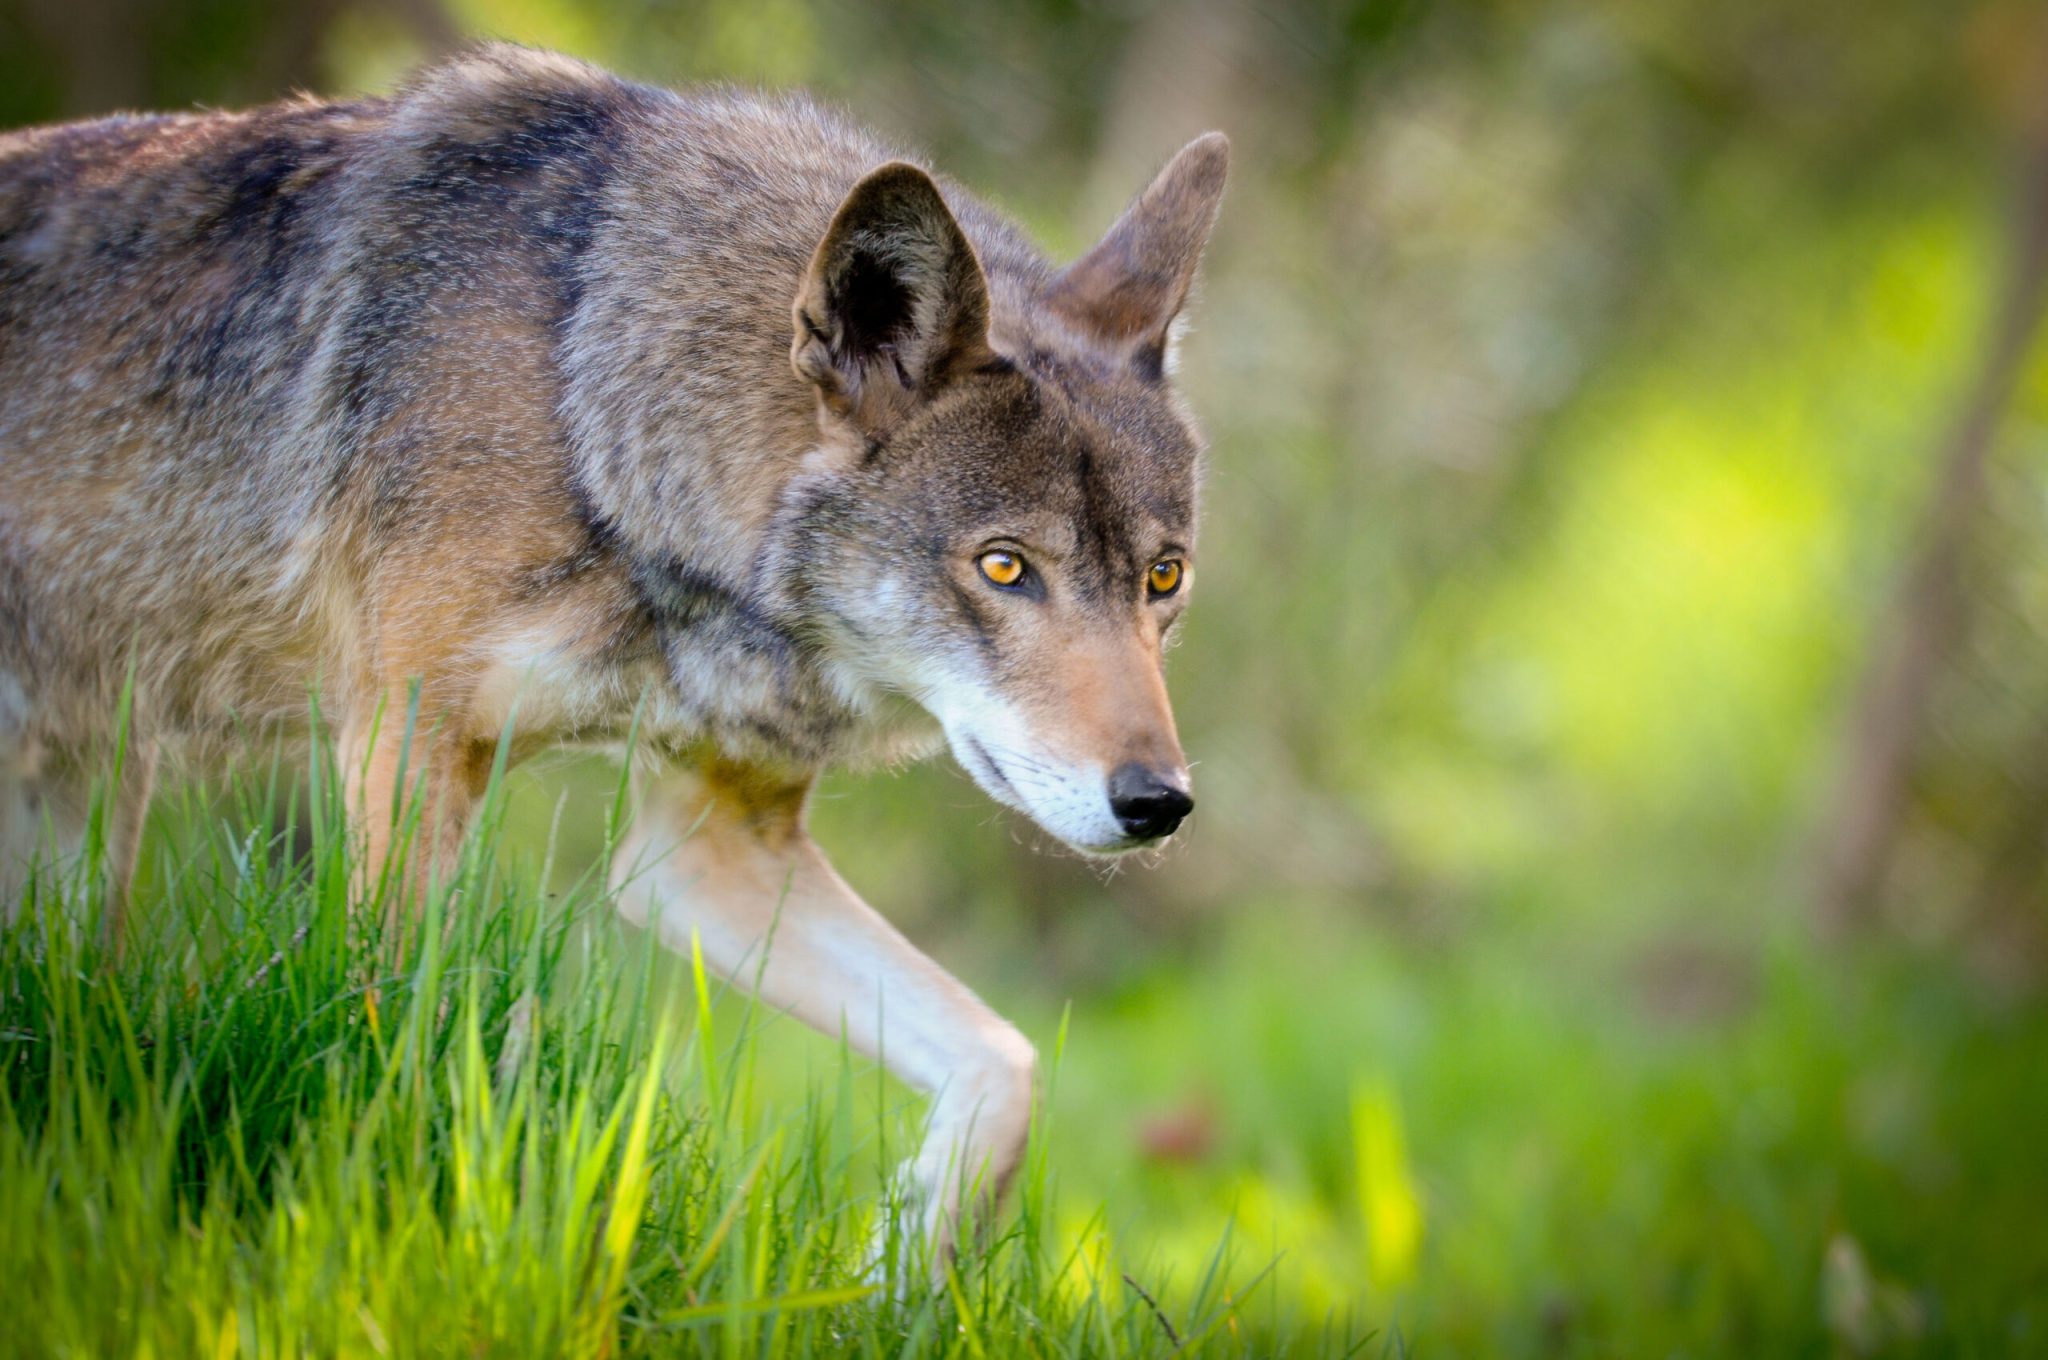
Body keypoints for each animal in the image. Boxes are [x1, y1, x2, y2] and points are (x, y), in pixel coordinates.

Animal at [0, 44, 1226, 1262]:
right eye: (1006, 566)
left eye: (1163, 578)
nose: (1157, 804)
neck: (582, 393)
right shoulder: (402, 745)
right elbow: (399, 1038)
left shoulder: (702, 847)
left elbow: (1005, 1066)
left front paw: (900, 1261)